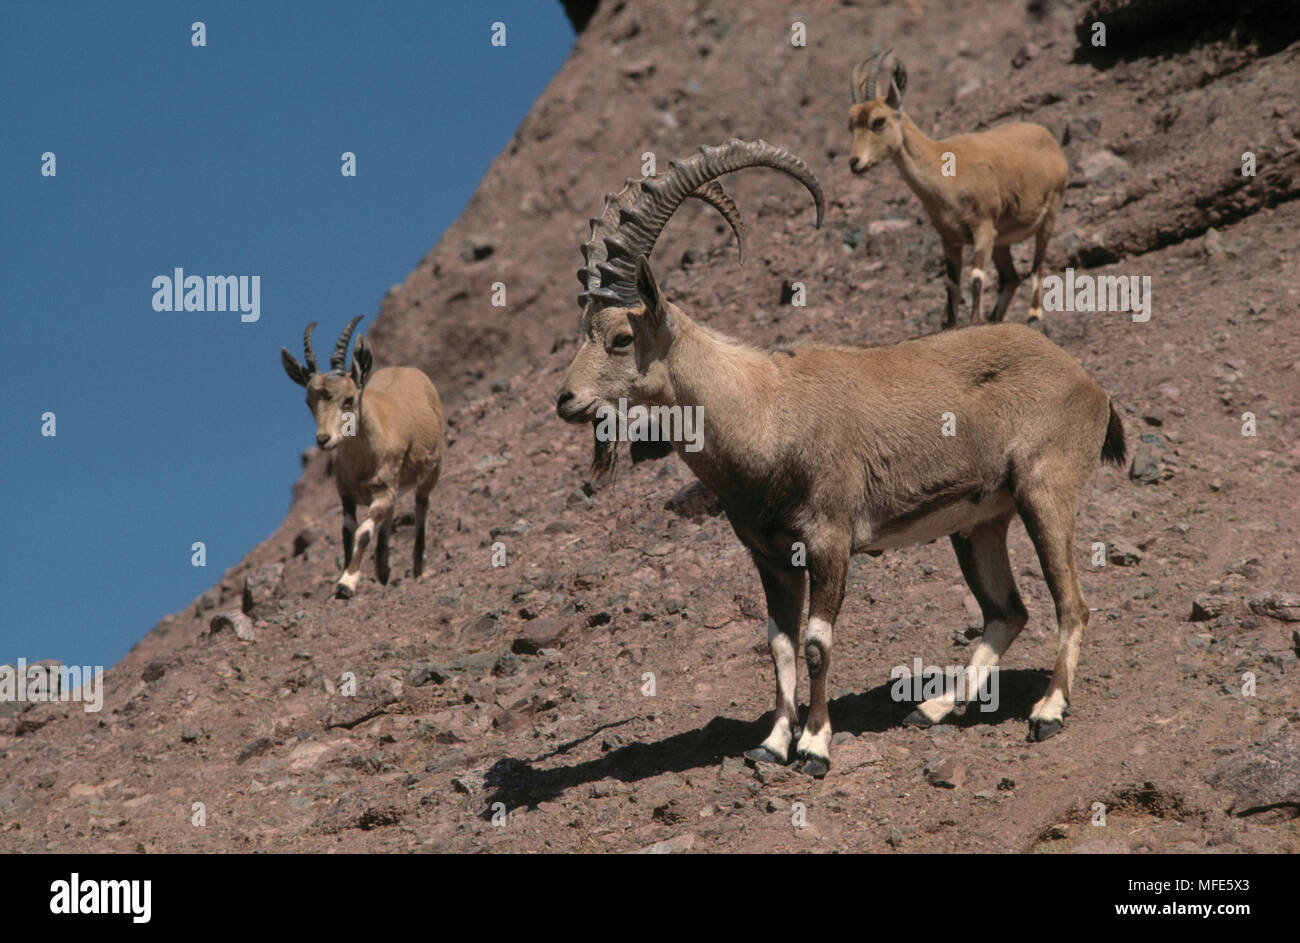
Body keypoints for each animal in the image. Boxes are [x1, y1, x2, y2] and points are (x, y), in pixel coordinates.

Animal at [281, 317, 445, 598]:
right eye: (309, 402)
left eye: (348, 399)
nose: (324, 439)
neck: (364, 459)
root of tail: (409, 371)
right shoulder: (346, 494)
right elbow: (348, 530)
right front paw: (346, 573)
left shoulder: (383, 489)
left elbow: (363, 532)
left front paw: (347, 583)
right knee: (389, 514)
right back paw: (383, 568)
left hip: (430, 472)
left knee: (421, 504)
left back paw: (418, 566)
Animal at [556, 139, 1125, 777]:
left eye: (620, 339)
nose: (566, 401)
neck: (765, 412)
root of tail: (1089, 384)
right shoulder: (772, 559)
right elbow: (779, 645)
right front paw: (772, 742)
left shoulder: (829, 541)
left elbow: (816, 642)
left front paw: (815, 747)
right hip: (979, 522)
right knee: (1008, 611)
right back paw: (932, 709)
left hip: (1044, 492)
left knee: (1071, 604)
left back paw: (1048, 711)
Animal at [848, 48, 1069, 326]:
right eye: (851, 124)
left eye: (878, 121)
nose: (855, 163)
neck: (945, 174)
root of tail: (1049, 139)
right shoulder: (949, 238)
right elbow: (951, 285)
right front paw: (953, 325)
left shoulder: (982, 227)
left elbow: (976, 278)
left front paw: (974, 322)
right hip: (1001, 238)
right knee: (1010, 277)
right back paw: (995, 319)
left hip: (1049, 211)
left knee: (1036, 265)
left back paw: (1033, 313)